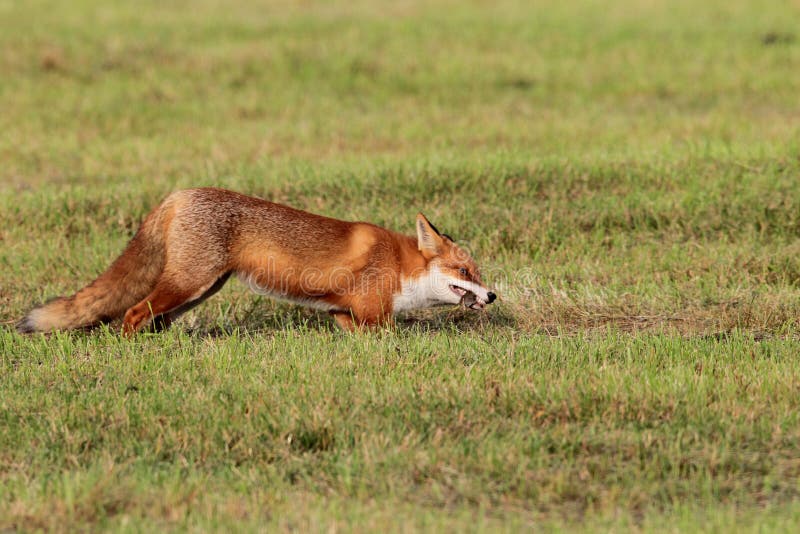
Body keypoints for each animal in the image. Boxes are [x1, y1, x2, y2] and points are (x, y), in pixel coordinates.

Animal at [17, 188, 496, 334]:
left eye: (477, 273)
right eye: (464, 272)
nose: (492, 294)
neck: (399, 264)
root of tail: (179, 193)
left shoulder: (345, 315)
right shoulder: (372, 315)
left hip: (199, 290)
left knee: (154, 318)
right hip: (188, 284)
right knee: (133, 314)